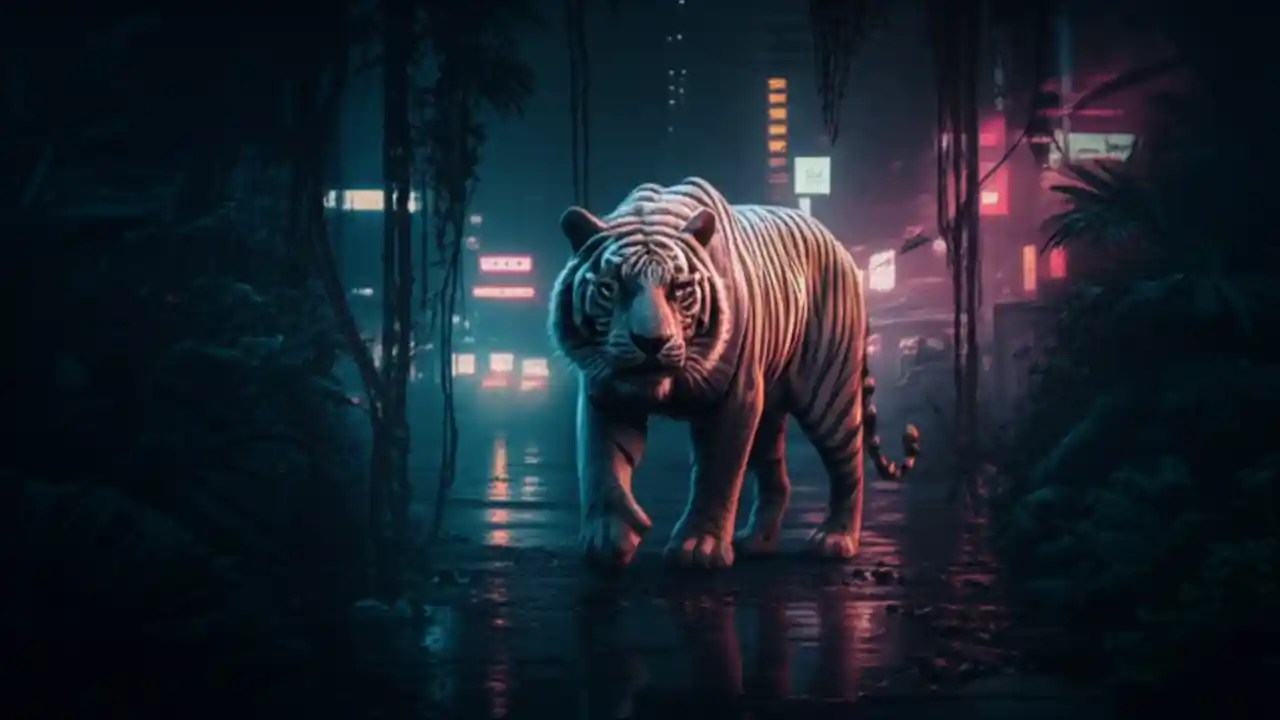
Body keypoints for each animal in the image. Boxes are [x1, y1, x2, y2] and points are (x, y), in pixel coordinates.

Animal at [548, 177, 919, 570]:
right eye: (609, 288)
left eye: (680, 289)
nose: (651, 342)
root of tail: (835, 243)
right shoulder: (604, 393)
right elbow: (602, 465)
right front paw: (607, 540)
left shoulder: (734, 398)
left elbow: (718, 473)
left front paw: (698, 548)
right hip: (768, 412)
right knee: (777, 478)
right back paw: (757, 542)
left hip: (829, 397)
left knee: (848, 465)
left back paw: (835, 539)